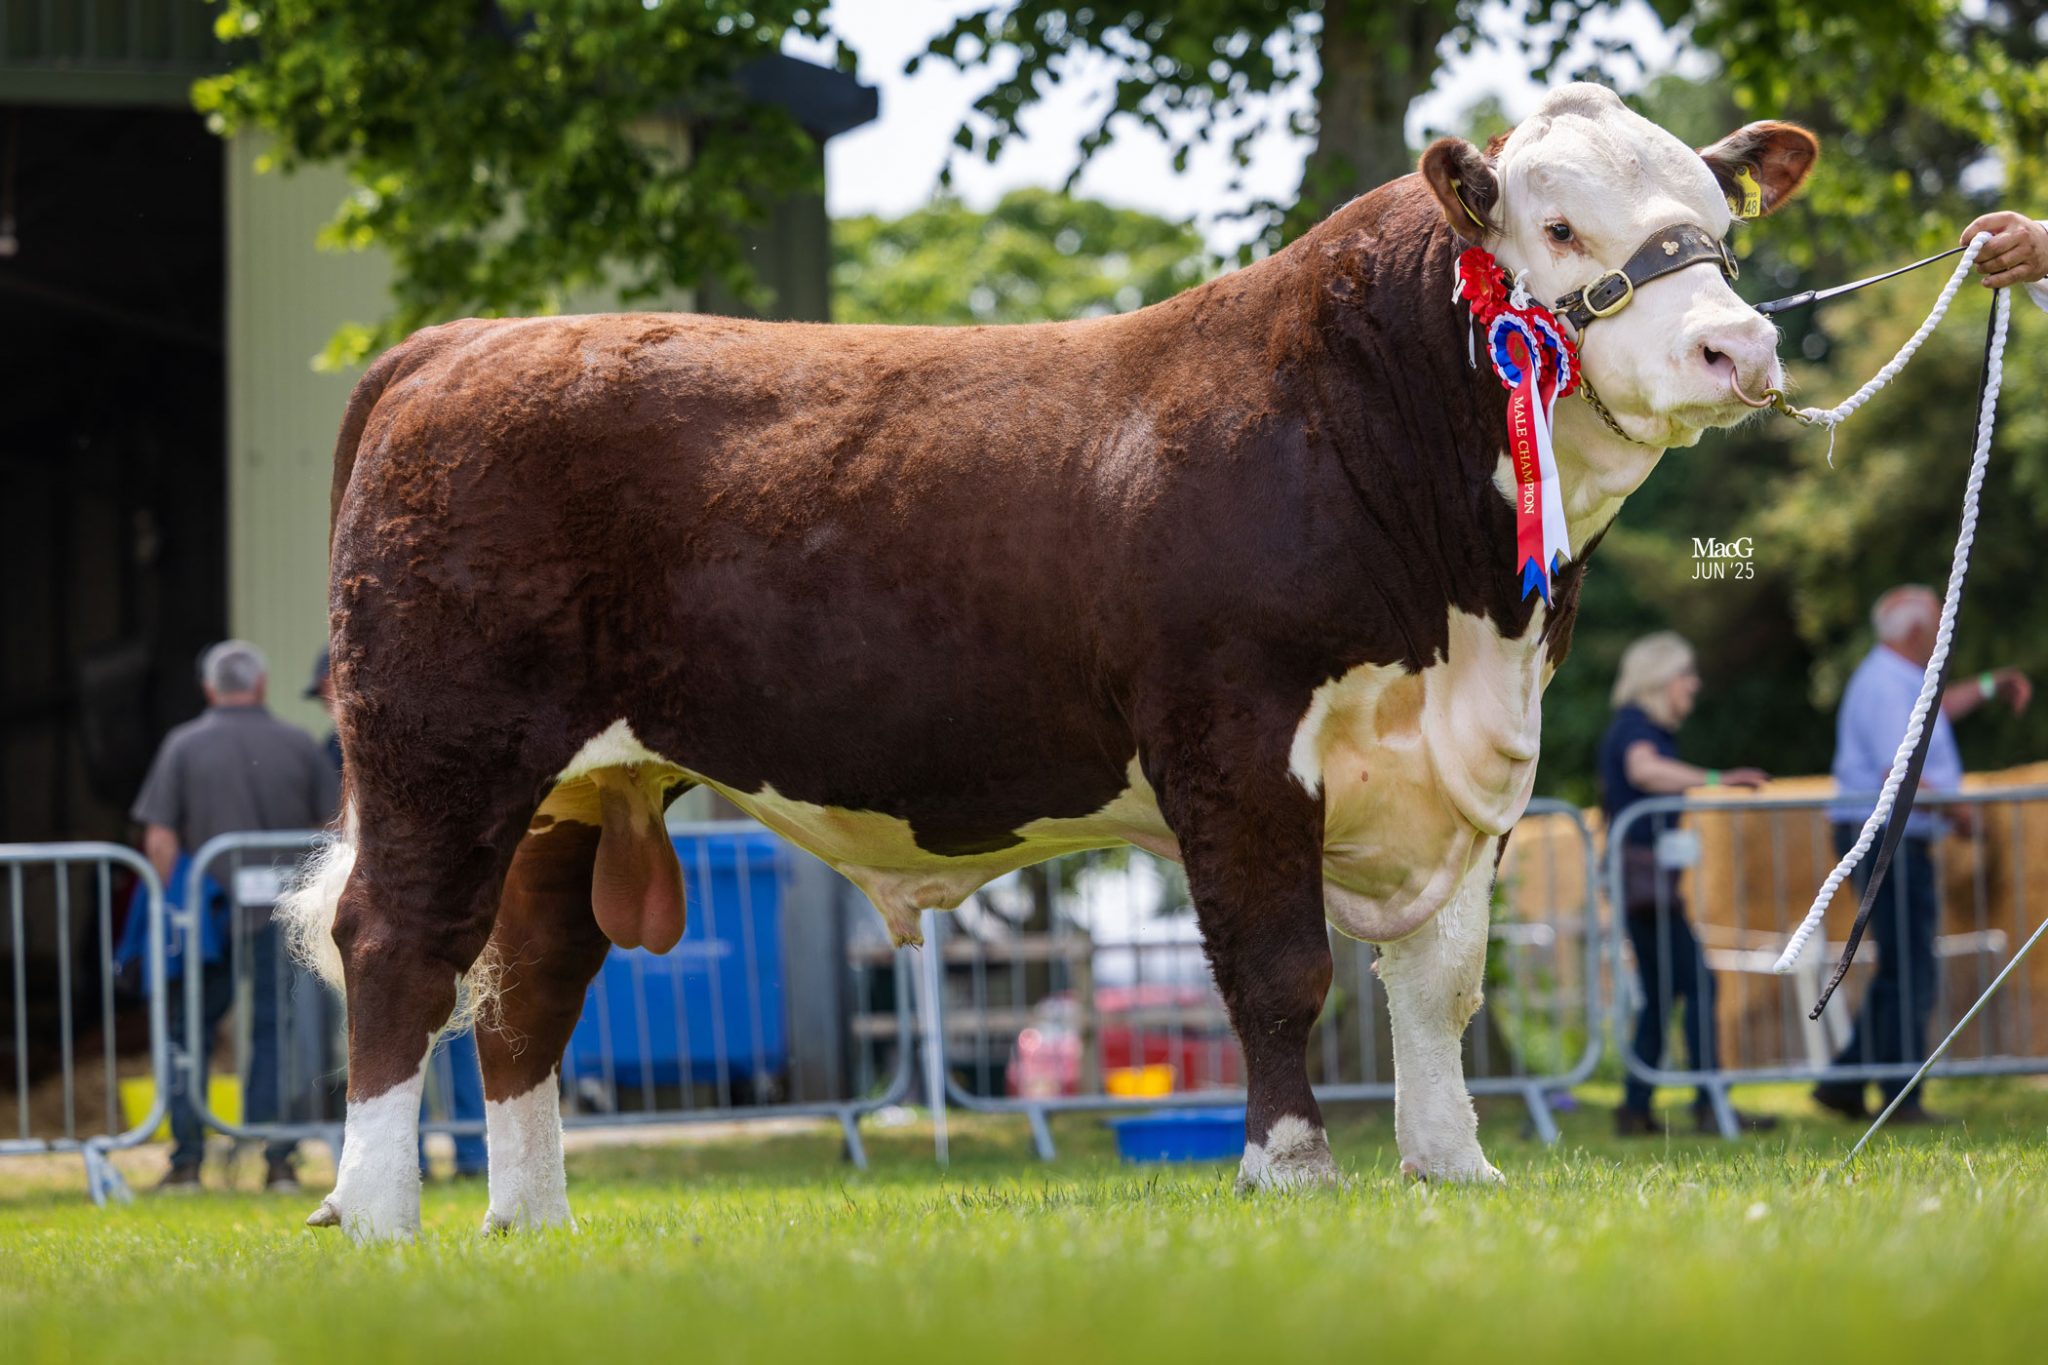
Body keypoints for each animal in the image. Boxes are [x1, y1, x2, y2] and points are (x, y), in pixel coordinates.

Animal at [281, 83, 1817, 1241]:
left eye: (1718, 230)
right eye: (1556, 224)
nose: (1737, 346)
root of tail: (463, 342)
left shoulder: (1470, 770)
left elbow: (1437, 981)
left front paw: (1451, 1168)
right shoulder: (1233, 737)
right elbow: (1280, 969)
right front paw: (1289, 1167)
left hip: (573, 789)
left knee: (525, 985)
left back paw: (528, 1221)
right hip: (442, 746)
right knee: (399, 946)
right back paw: (376, 1214)